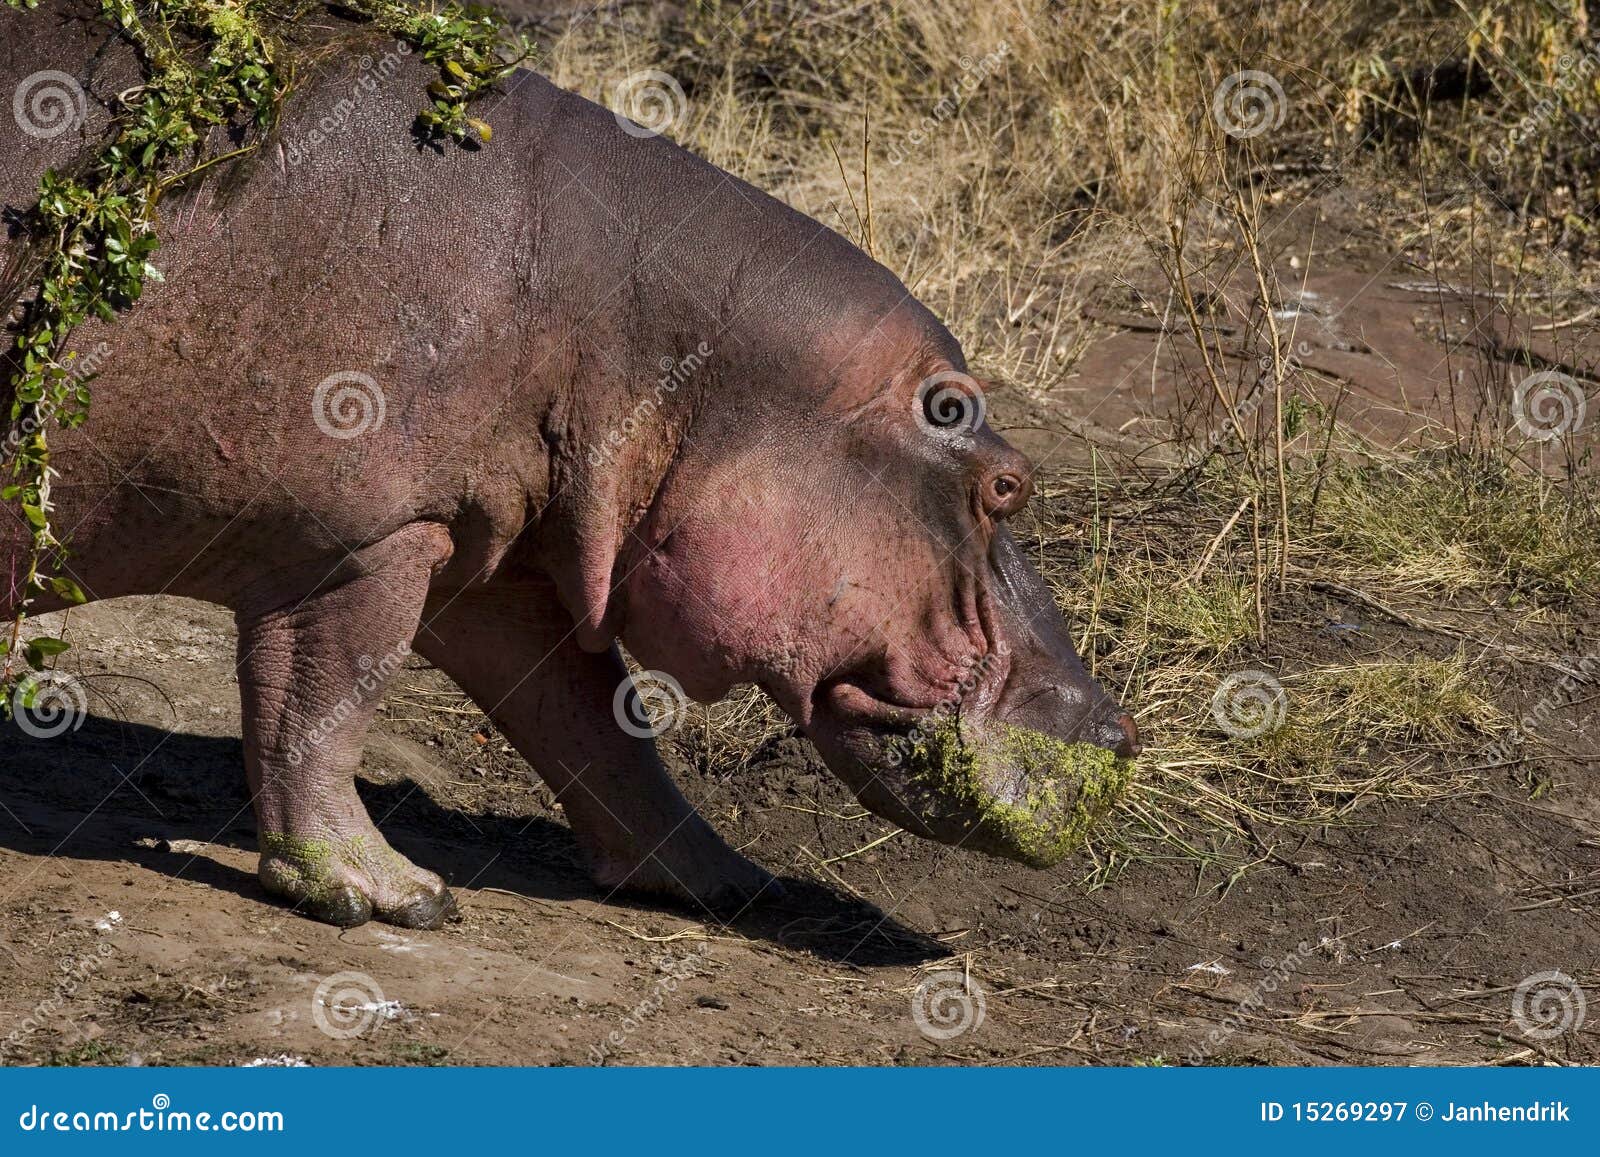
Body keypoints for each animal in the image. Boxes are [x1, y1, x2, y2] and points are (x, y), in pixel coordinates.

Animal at [1, 2, 1138, 929]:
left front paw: (732, 882)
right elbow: (320, 710)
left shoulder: (496, 562)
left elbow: (596, 725)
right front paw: (395, 897)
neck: (685, 360)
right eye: (1006, 484)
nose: (1120, 733)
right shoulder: (369, 539)